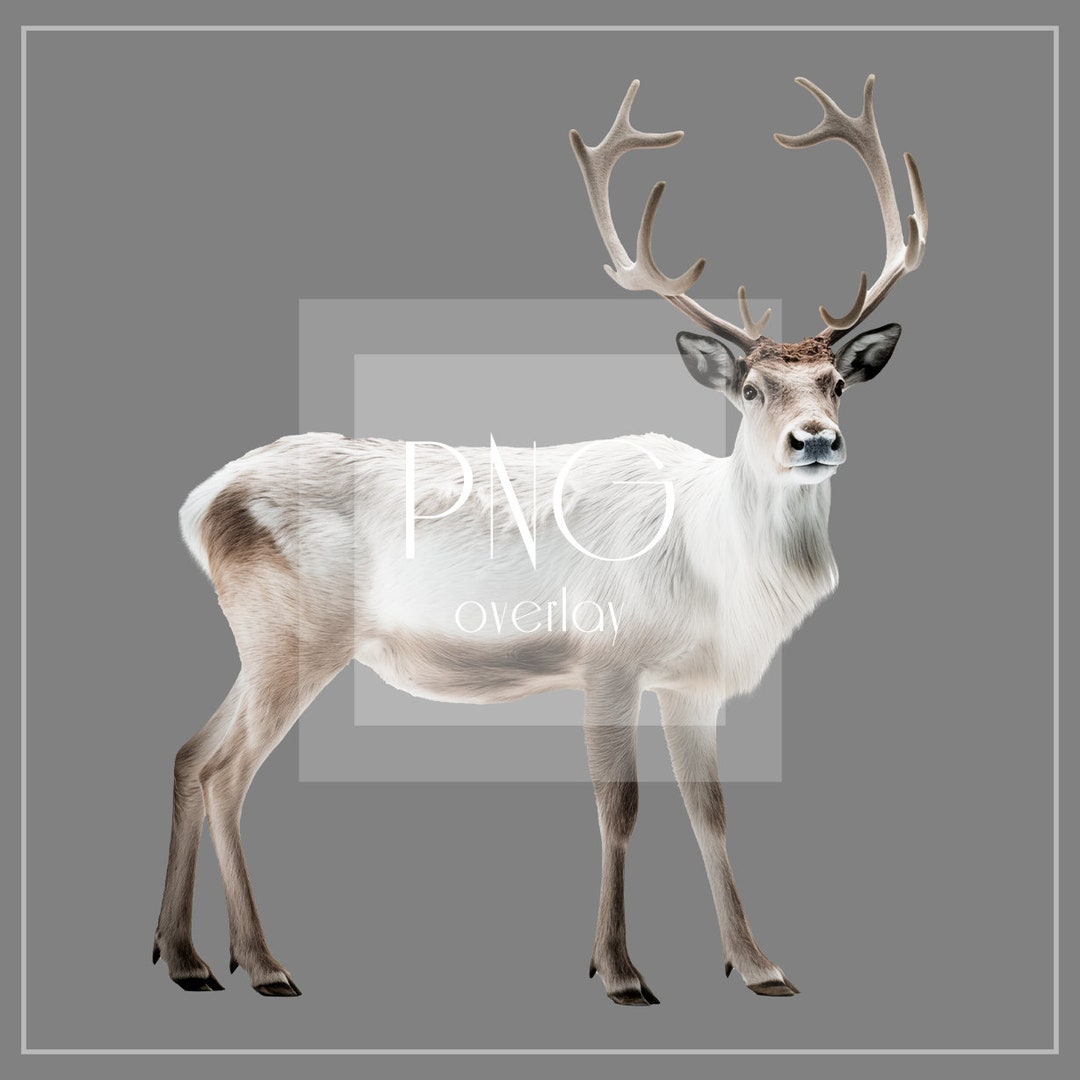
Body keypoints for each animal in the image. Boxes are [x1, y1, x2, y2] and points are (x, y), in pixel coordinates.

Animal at [153, 74, 925, 1004]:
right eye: (750, 388)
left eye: (838, 381)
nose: (815, 439)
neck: (721, 577)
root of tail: (202, 504)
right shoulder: (608, 657)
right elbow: (620, 807)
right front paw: (620, 971)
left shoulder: (692, 684)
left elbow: (711, 811)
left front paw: (758, 965)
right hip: (295, 633)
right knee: (227, 770)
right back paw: (264, 964)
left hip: (264, 640)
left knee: (190, 754)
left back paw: (185, 957)